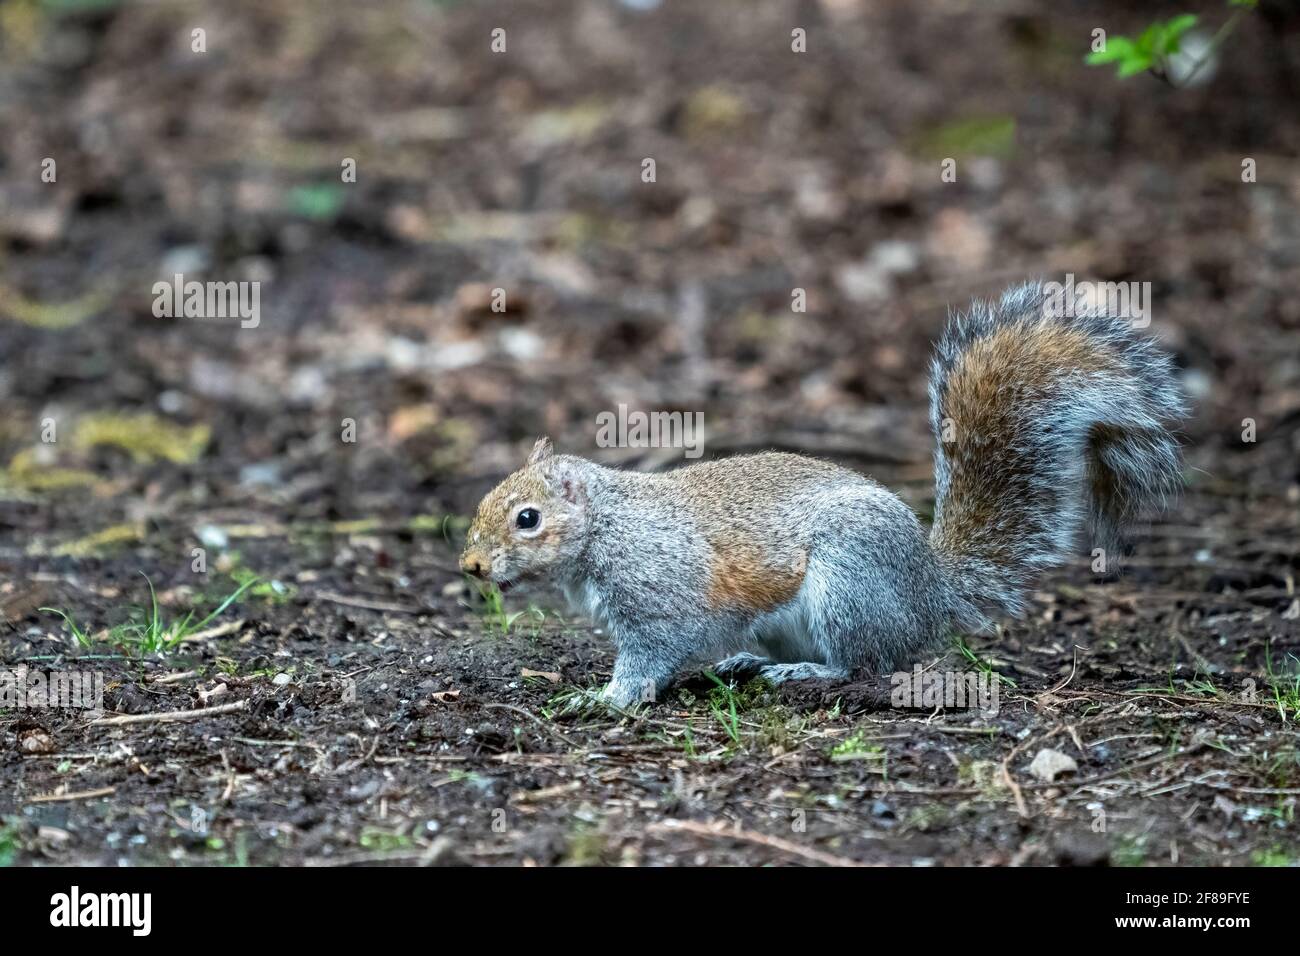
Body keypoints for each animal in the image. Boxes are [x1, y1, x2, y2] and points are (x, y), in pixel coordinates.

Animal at [460, 282, 1186, 707]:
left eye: (528, 518)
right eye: (486, 503)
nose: (470, 566)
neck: (606, 526)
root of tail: (930, 592)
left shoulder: (660, 592)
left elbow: (654, 652)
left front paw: (607, 698)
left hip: (849, 584)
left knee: (866, 663)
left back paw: (806, 674)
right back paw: (748, 660)